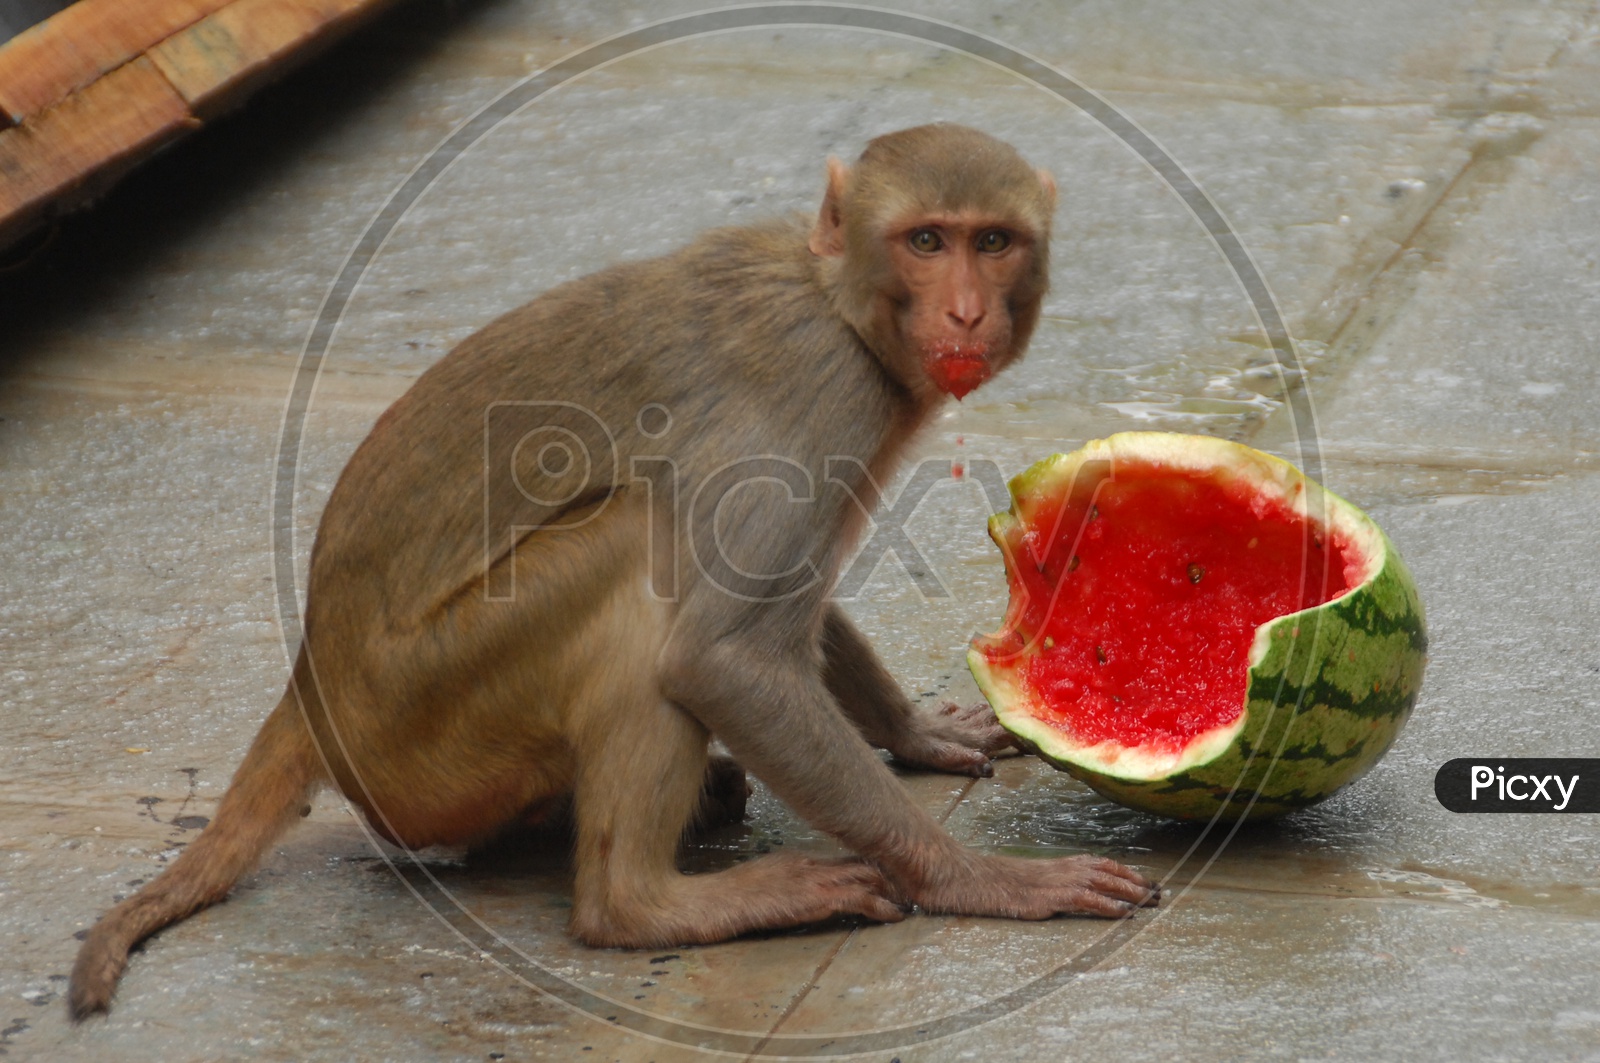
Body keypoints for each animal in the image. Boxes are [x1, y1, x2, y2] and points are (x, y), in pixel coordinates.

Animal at [68, 123, 1158, 1020]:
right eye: (927, 241)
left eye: (993, 240)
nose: (967, 313)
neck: (836, 299)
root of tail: (308, 685)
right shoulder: (822, 389)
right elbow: (722, 655)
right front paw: (980, 881)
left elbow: (790, 616)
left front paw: (917, 731)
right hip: (421, 723)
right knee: (640, 556)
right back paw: (643, 907)